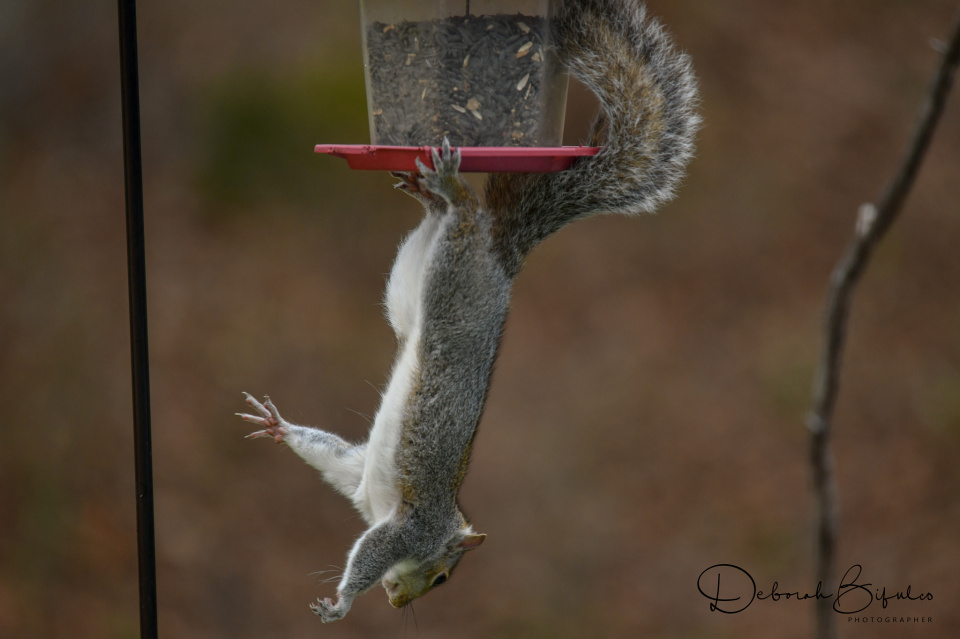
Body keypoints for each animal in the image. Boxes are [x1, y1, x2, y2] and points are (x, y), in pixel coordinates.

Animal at [237, 0, 699, 623]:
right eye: (441, 576)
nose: (398, 601)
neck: (439, 524)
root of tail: (499, 259)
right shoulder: (409, 529)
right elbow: (370, 545)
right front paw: (343, 603)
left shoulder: (368, 486)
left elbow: (335, 460)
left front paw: (280, 428)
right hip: (452, 280)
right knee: (460, 220)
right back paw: (451, 191)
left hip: (411, 285)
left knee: (437, 235)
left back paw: (433, 195)